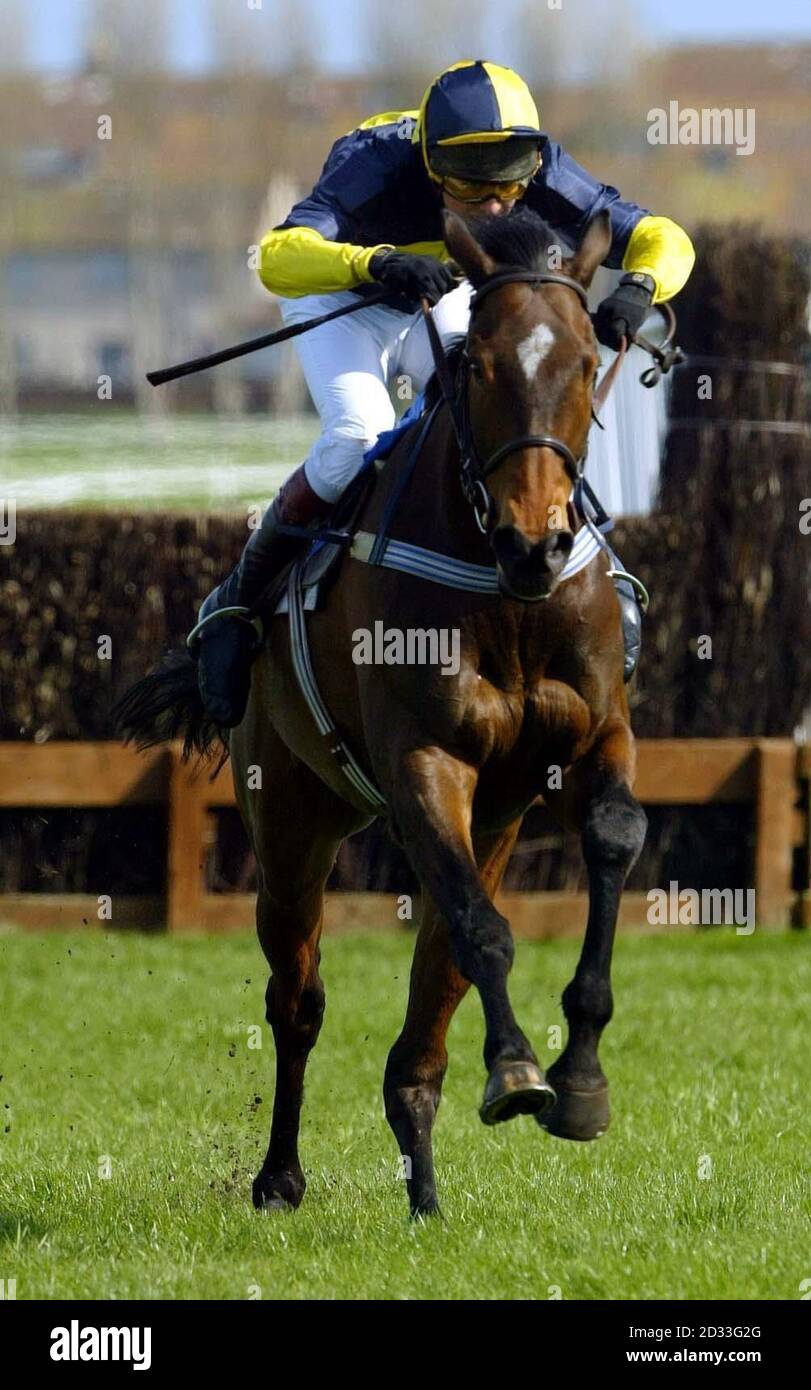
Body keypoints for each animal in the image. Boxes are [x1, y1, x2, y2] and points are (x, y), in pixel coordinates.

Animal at [117, 205, 648, 1217]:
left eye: (581, 362)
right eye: (477, 367)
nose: (533, 542)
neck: (503, 594)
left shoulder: (587, 740)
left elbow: (605, 839)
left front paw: (581, 1081)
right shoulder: (423, 761)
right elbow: (483, 931)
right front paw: (519, 1070)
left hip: (488, 823)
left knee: (429, 1006)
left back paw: (426, 1188)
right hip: (291, 817)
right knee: (297, 1001)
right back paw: (279, 1177)